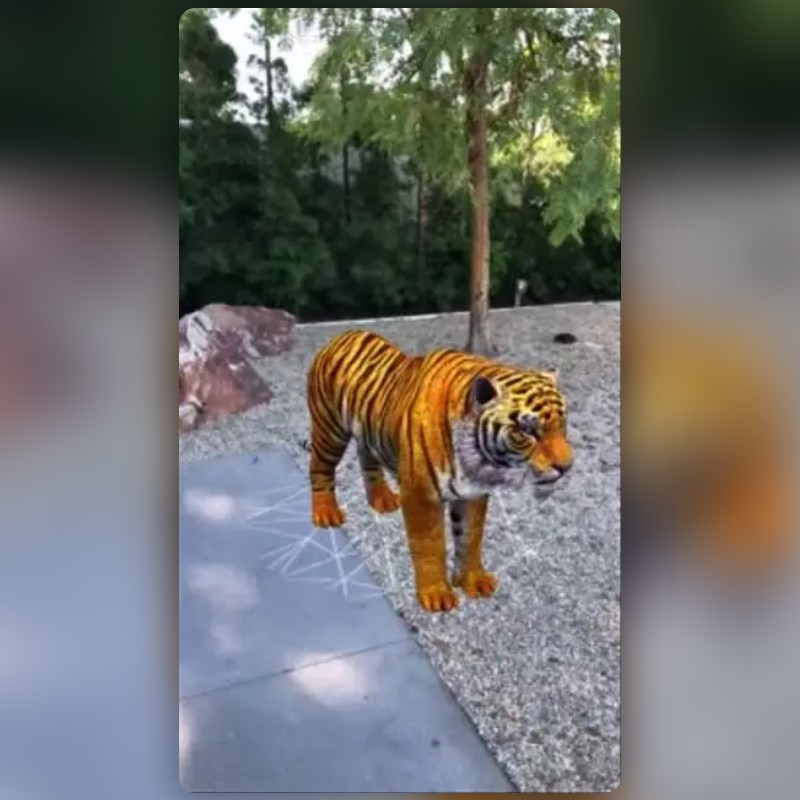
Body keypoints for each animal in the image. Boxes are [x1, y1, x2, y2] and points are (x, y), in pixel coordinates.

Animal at [306, 329, 574, 613]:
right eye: (527, 432)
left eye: (563, 424)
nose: (566, 466)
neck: (476, 457)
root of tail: (343, 334)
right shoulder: (421, 496)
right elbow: (430, 545)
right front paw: (436, 595)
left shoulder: (472, 494)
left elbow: (470, 538)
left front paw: (474, 581)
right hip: (329, 431)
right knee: (319, 468)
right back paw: (326, 514)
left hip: (367, 430)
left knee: (366, 455)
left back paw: (383, 499)